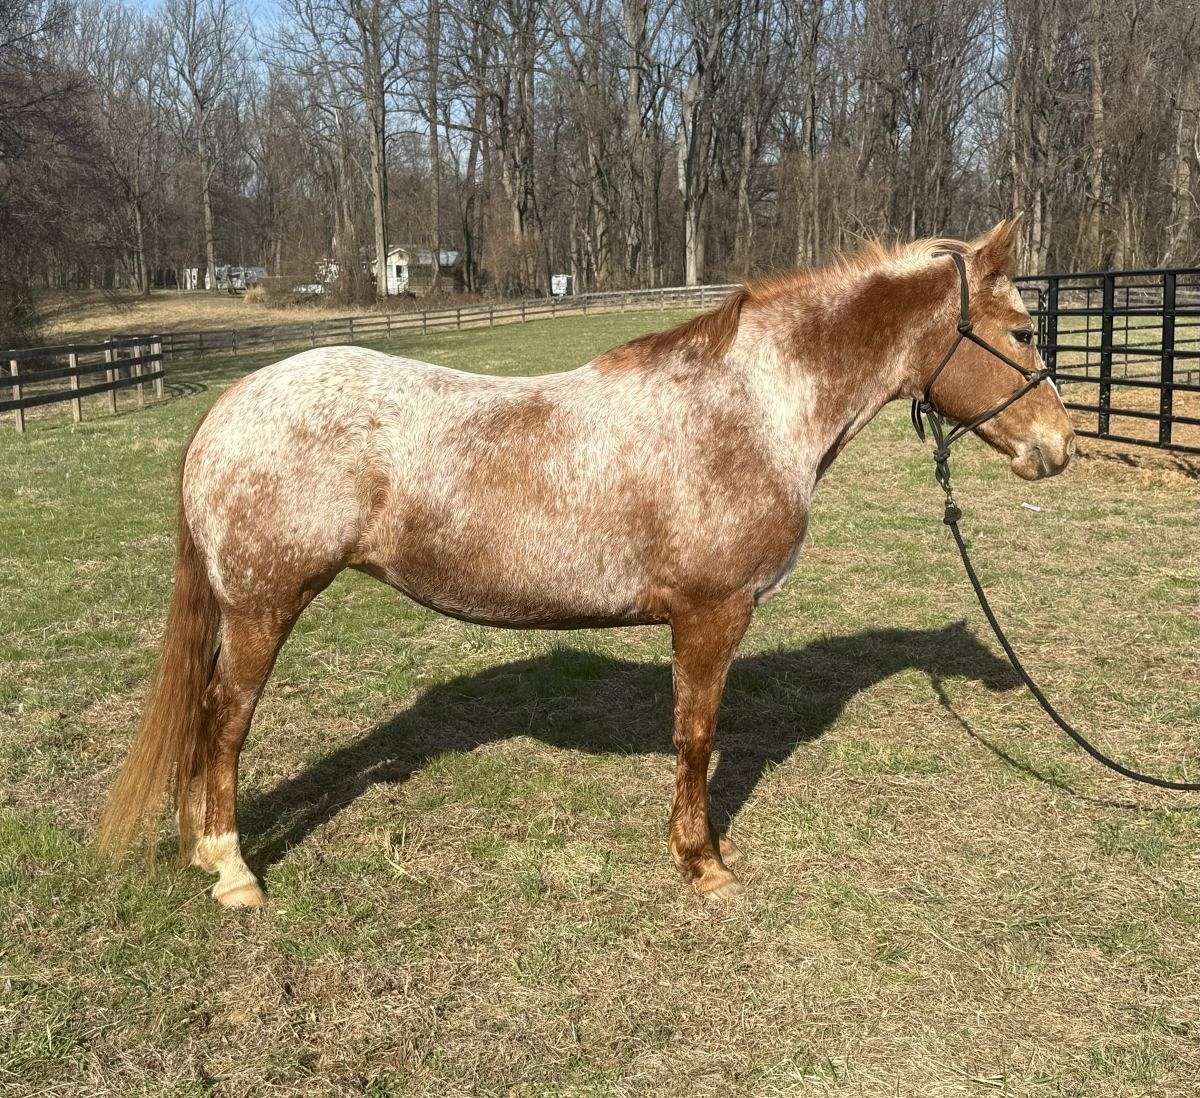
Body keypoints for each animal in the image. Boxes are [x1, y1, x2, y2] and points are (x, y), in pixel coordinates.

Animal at [97, 218, 1075, 909]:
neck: (751, 409)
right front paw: (702, 864)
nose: (1060, 447)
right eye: (1026, 332)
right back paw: (232, 870)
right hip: (265, 607)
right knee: (225, 721)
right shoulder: (713, 613)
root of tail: (233, 400)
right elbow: (695, 737)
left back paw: (199, 846)